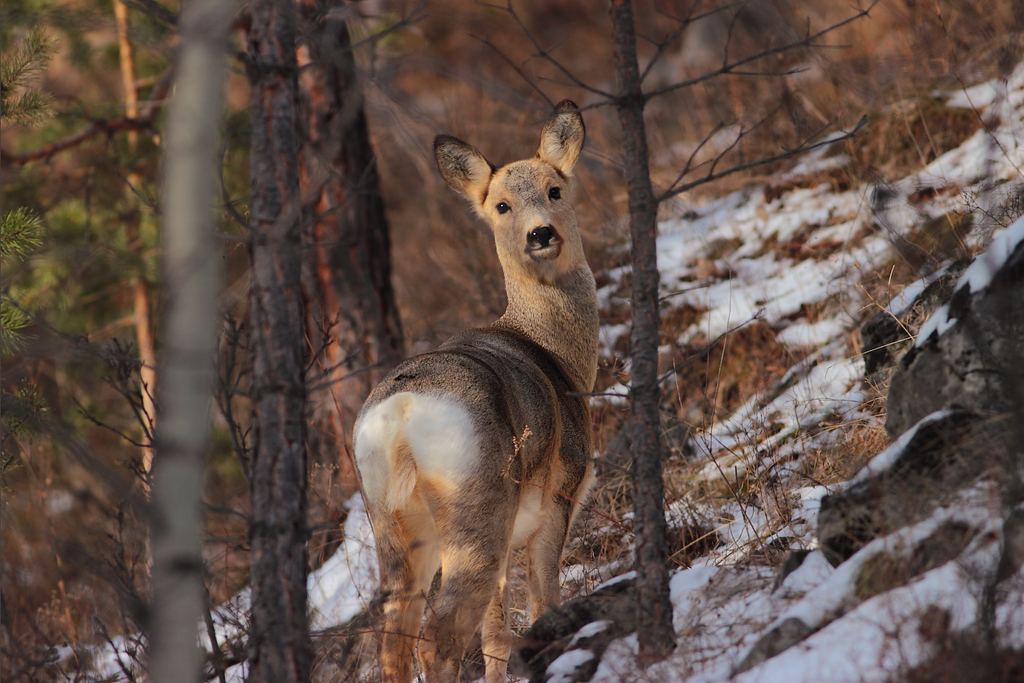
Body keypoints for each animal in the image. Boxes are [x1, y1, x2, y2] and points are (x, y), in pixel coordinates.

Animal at [352, 100, 599, 683]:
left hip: (393, 523)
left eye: (555, 190)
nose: (540, 234)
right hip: (475, 504)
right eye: (501, 206)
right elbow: (544, 601)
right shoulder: (560, 493)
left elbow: (496, 635)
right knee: (438, 638)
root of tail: (402, 417)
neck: (558, 355)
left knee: (394, 641)